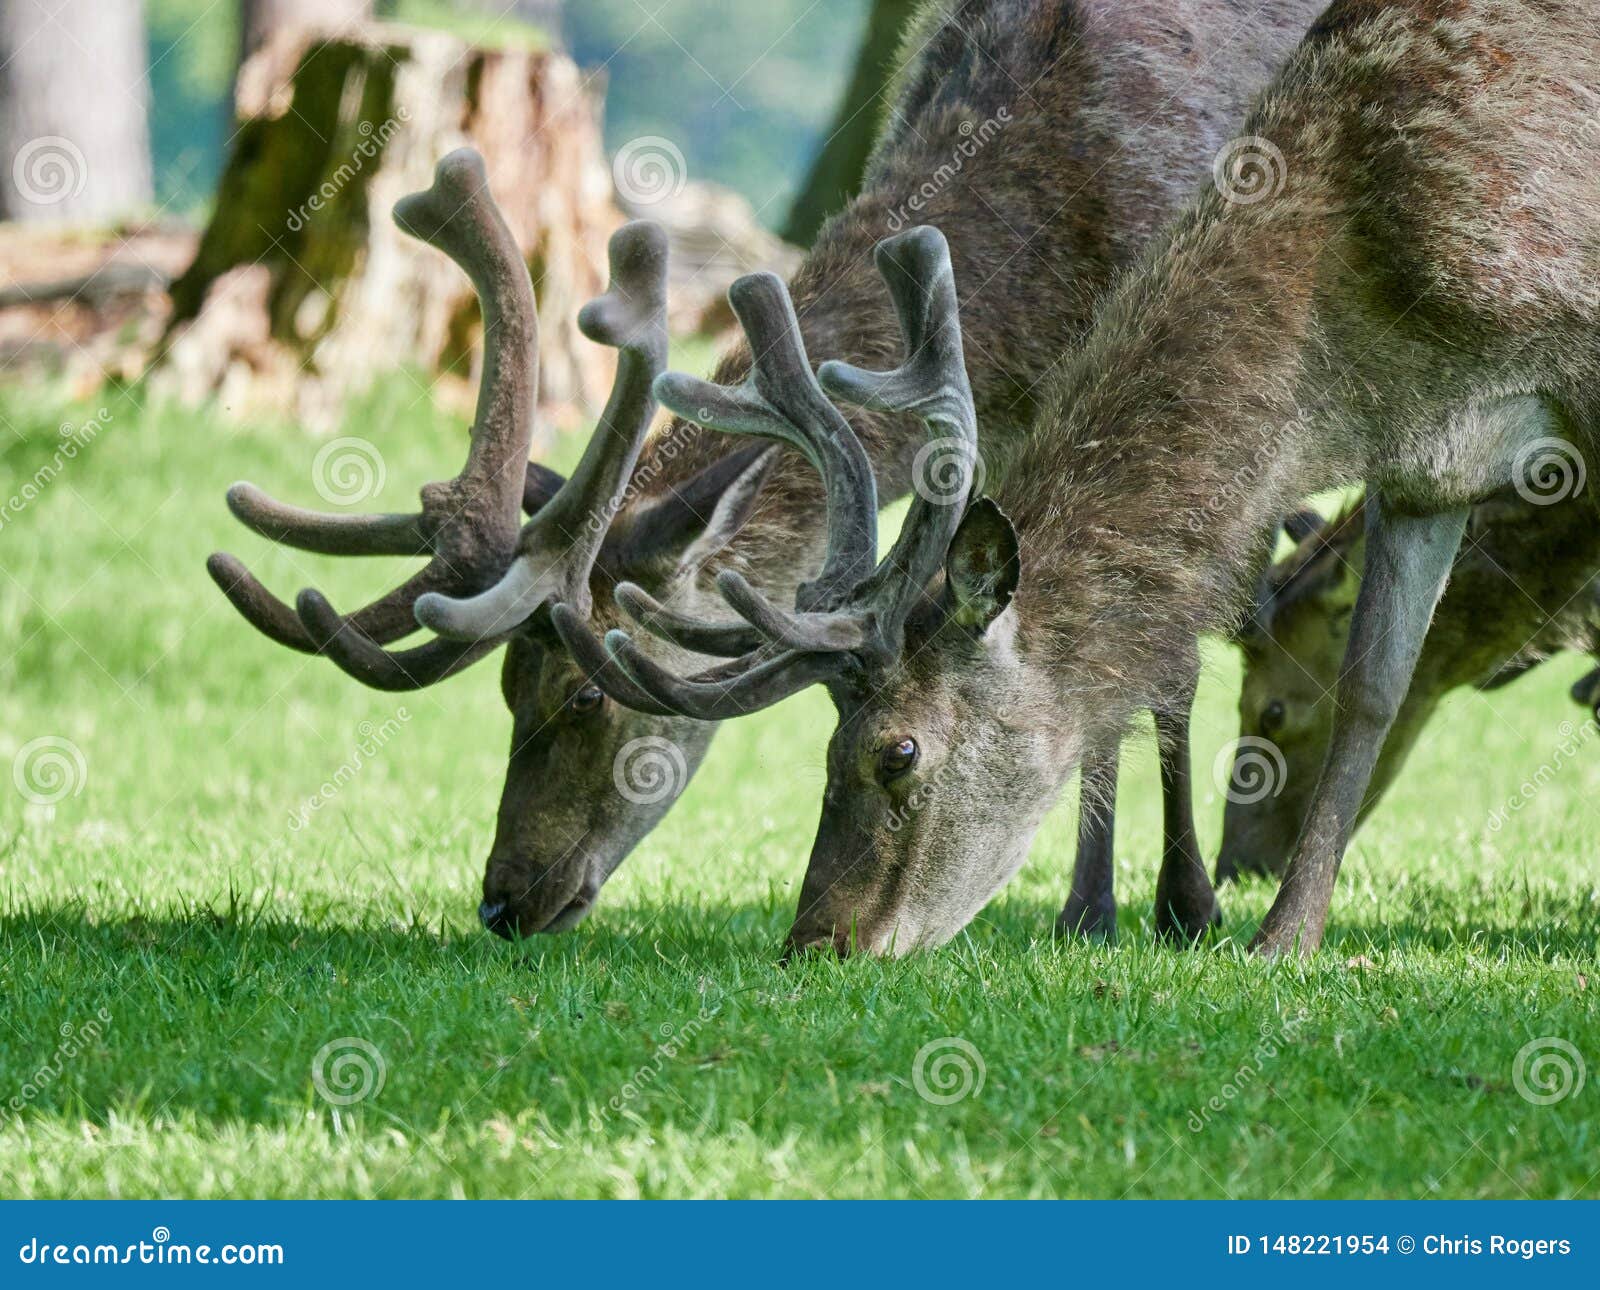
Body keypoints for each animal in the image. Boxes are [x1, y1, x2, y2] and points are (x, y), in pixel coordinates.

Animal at [209, 0, 1331, 941]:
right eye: (507, 687)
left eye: (588, 695)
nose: (502, 901)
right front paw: (1098, 903)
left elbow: (1163, 663)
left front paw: (1164, 905)